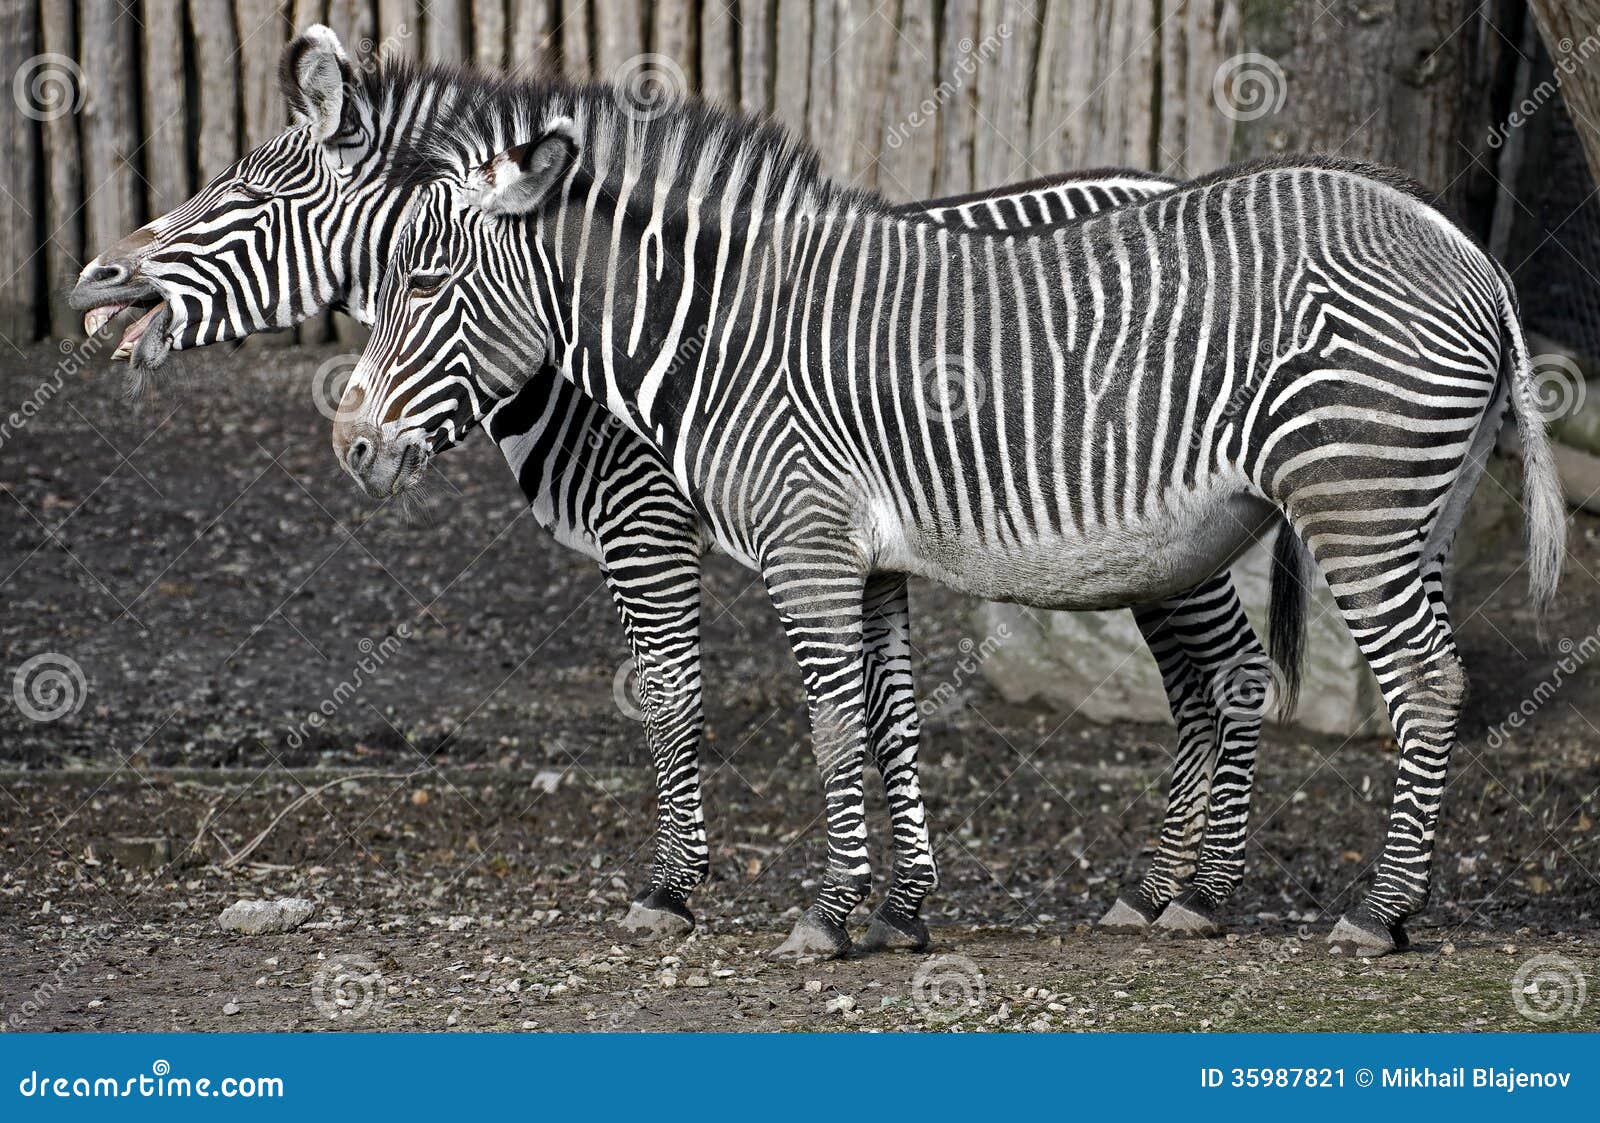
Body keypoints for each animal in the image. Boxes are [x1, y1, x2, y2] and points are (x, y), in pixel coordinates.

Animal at [64, 29, 1303, 951]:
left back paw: (1193, 892)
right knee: (1198, 686)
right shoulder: (859, 544)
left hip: (1162, 532)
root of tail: (1168, 176)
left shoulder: (648, 523)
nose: (90, 281)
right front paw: (901, 903)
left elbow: (669, 696)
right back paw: (1155, 886)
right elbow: (888, 713)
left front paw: (674, 886)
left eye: (246, 194)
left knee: (1226, 674)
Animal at [332, 72, 1564, 960]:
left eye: (423, 283)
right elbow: (889, 724)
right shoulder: (870, 561)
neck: (719, 340)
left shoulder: (796, 546)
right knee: (1261, 676)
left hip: (1355, 502)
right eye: (374, 275)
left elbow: (821, 723)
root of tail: (1463, 246)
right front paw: (898, 909)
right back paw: (1203, 897)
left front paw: (818, 912)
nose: (351, 446)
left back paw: (1378, 912)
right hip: (1398, 515)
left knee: (1425, 682)